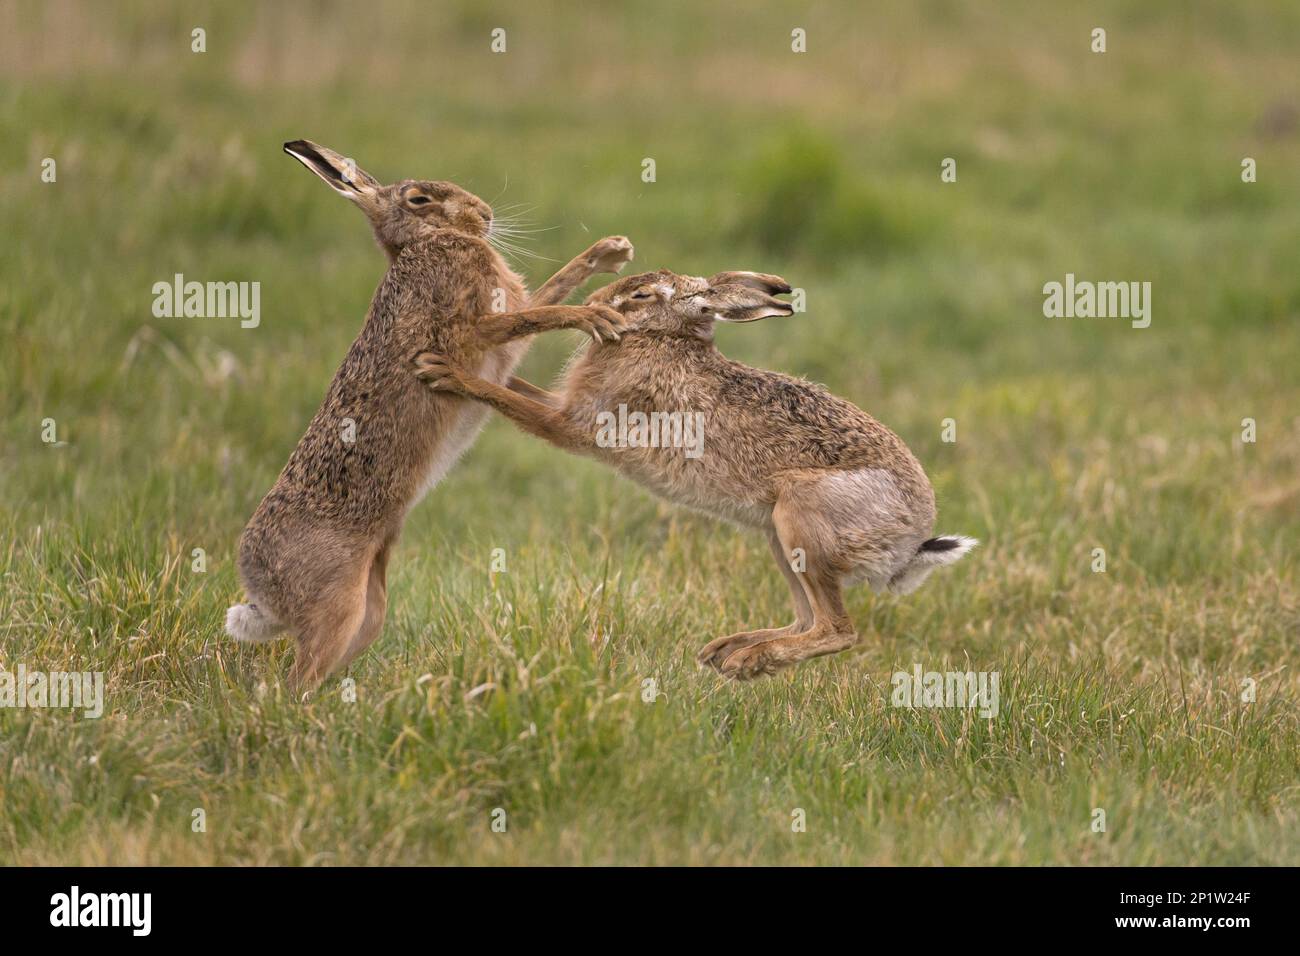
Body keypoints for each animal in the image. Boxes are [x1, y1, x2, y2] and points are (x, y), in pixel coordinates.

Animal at [225, 139, 634, 690]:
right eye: (420, 199)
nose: (485, 214)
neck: (426, 243)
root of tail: (259, 589)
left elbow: (548, 292)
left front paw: (610, 251)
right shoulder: (475, 328)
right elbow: (535, 314)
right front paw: (595, 317)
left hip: (368, 611)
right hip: (335, 607)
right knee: (296, 683)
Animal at [413, 269, 976, 680]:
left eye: (640, 294)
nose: (595, 302)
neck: (662, 339)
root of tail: (910, 543)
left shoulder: (574, 424)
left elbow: (508, 399)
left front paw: (444, 370)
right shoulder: (565, 405)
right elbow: (517, 386)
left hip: (804, 517)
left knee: (838, 630)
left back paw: (748, 662)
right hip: (779, 535)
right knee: (808, 617)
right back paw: (728, 650)